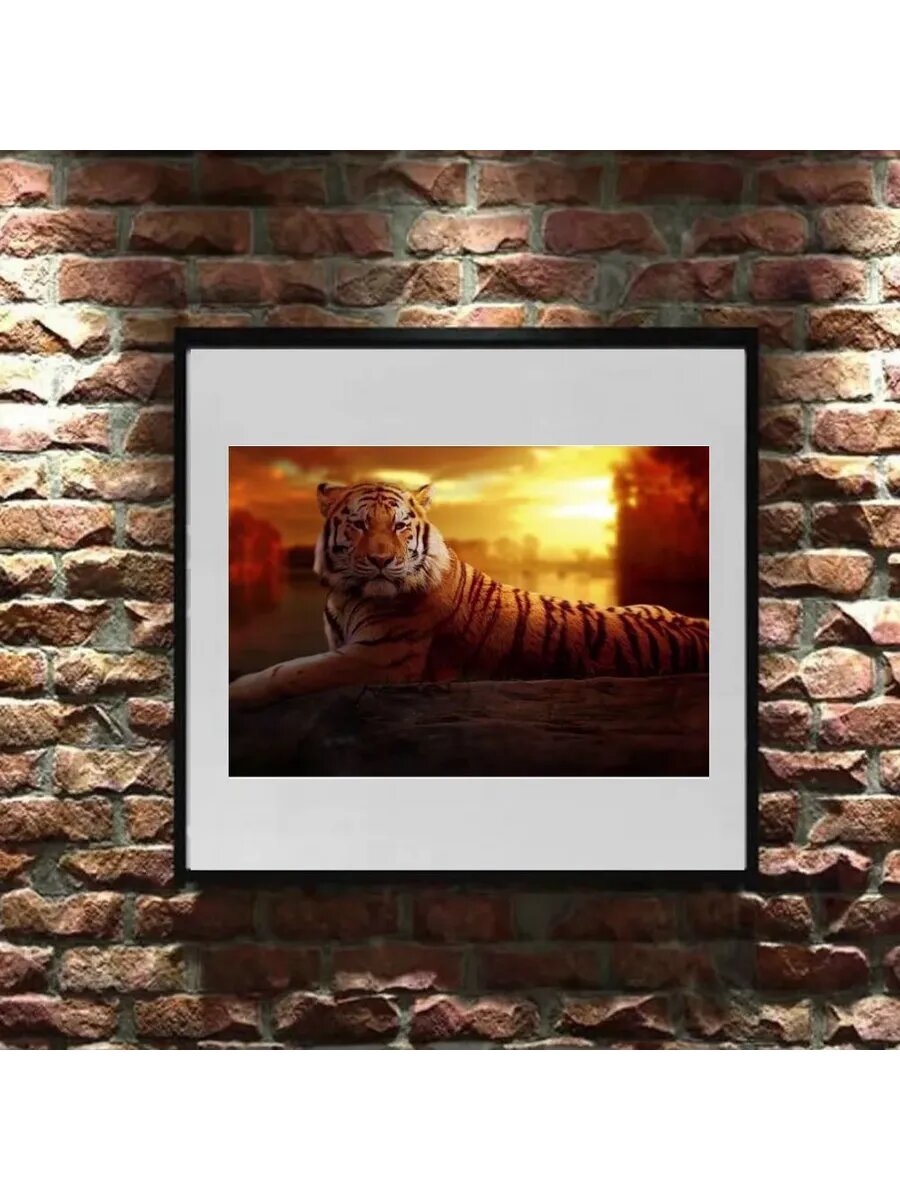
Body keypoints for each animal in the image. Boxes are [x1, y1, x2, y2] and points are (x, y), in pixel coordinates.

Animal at [228, 479, 710, 708]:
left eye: (400, 525)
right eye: (360, 524)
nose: (383, 561)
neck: (346, 594)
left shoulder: (379, 657)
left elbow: (290, 671)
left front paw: (238, 691)